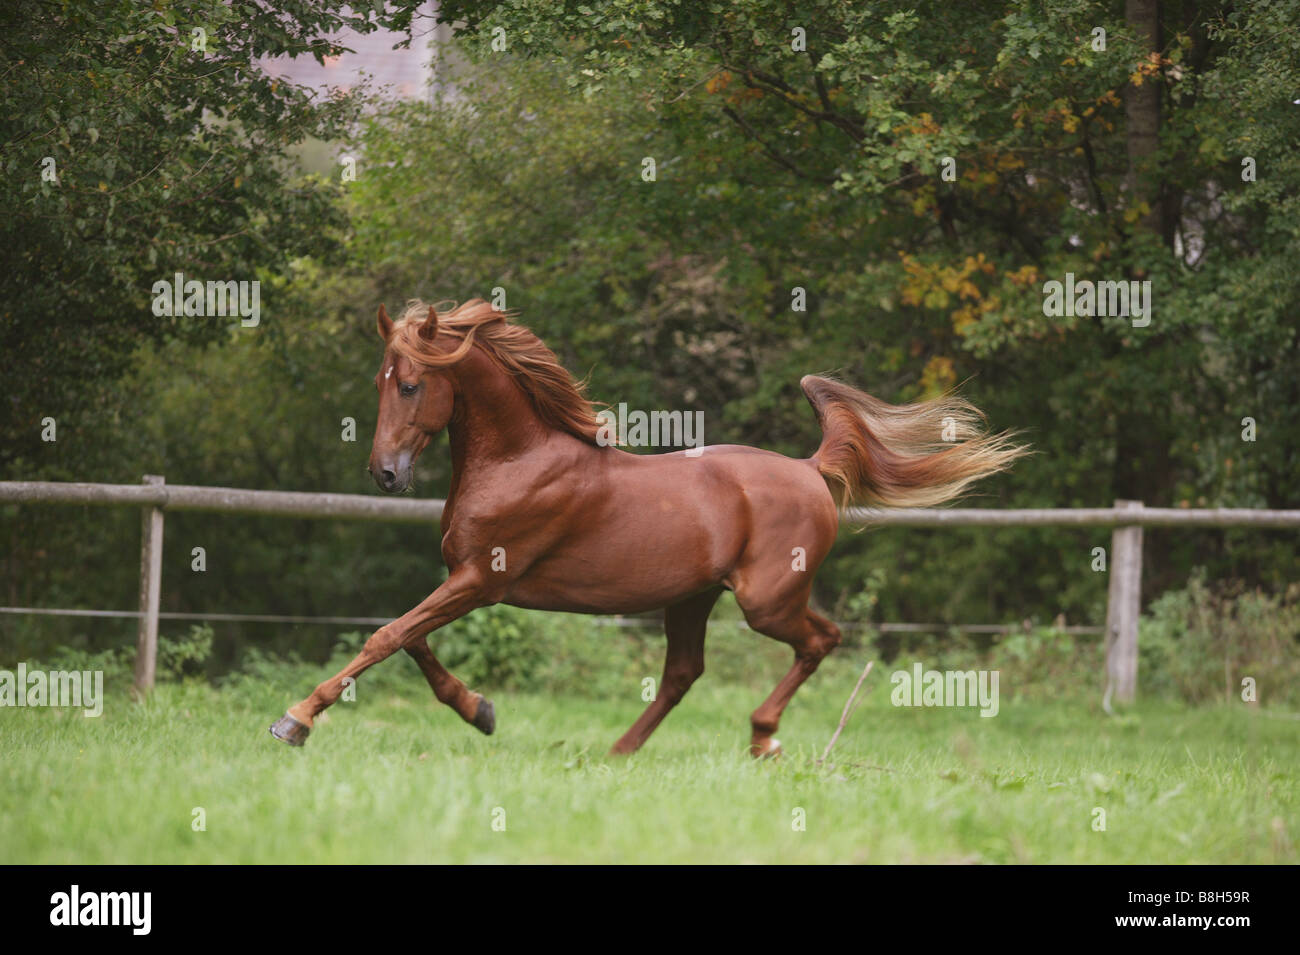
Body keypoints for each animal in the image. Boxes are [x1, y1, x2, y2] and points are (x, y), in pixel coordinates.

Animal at [270, 299, 1025, 756]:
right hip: (692, 597)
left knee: (822, 639)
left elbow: (387, 635)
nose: (385, 474)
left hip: (766, 600)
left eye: (410, 384)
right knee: (684, 672)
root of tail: (811, 470)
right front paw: (479, 709)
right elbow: (411, 641)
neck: (520, 459)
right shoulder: (463, 579)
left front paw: (294, 720)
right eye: (380, 381)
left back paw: (762, 738)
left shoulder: (482, 580)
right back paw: (620, 753)